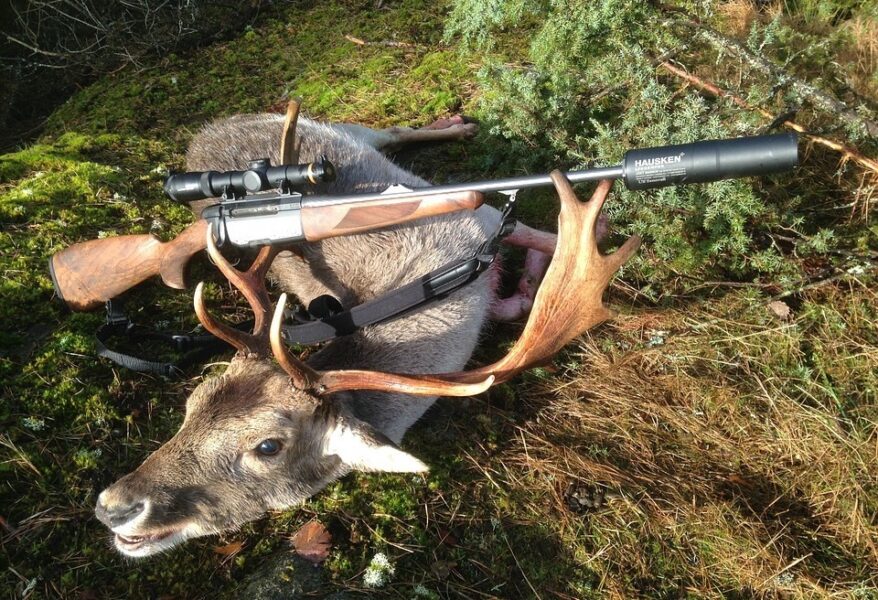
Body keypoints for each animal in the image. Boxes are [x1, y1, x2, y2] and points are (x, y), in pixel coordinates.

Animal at [93, 108, 640, 557]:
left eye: (268, 446)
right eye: (193, 403)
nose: (114, 505)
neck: (438, 289)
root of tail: (202, 134)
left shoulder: (482, 218)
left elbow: (567, 236)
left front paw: (542, 264)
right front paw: (528, 279)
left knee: (391, 131)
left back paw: (457, 125)